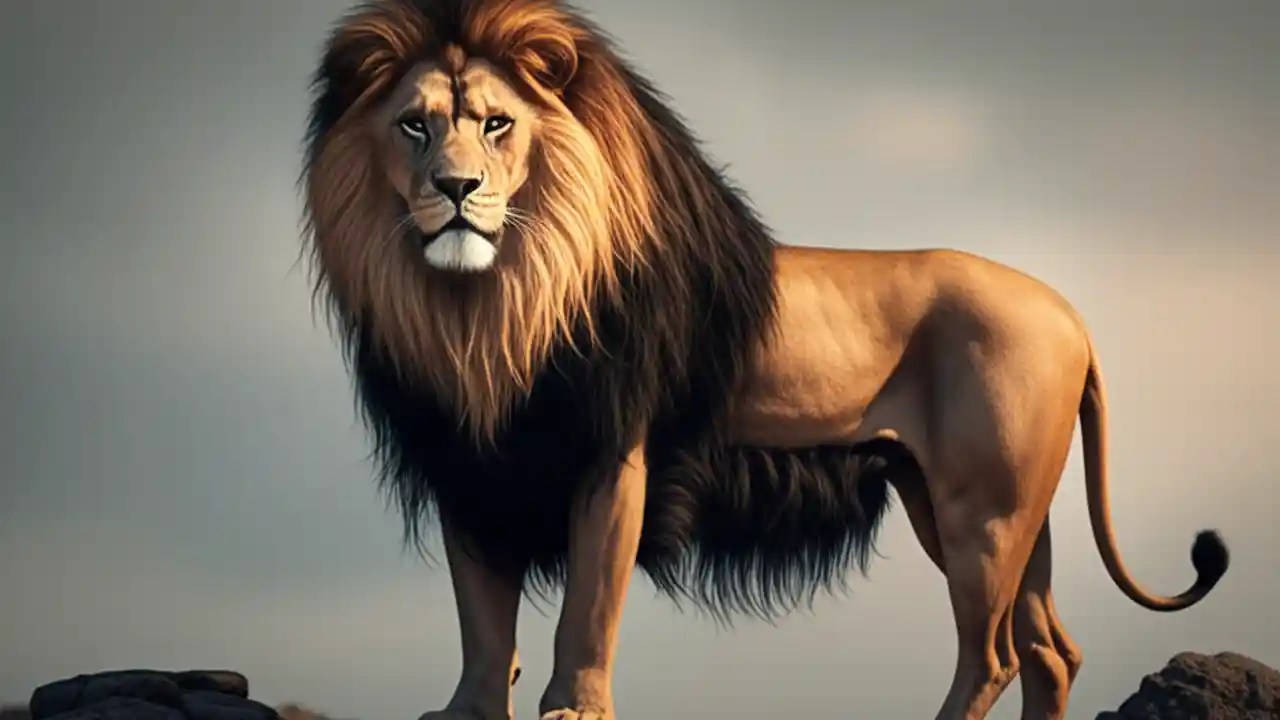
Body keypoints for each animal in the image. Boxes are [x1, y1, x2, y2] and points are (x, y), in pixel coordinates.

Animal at [300, 1, 1231, 719]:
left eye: (498, 124)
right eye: (414, 125)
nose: (455, 189)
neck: (487, 311)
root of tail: (1071, 314)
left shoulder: (616, 452)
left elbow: (588, 605)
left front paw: (575, 706)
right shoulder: (463, 464)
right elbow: (481, 619)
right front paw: (466, 708)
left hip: (983, 511)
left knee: (996, 655)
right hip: (986, 505)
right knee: (1049, 651)